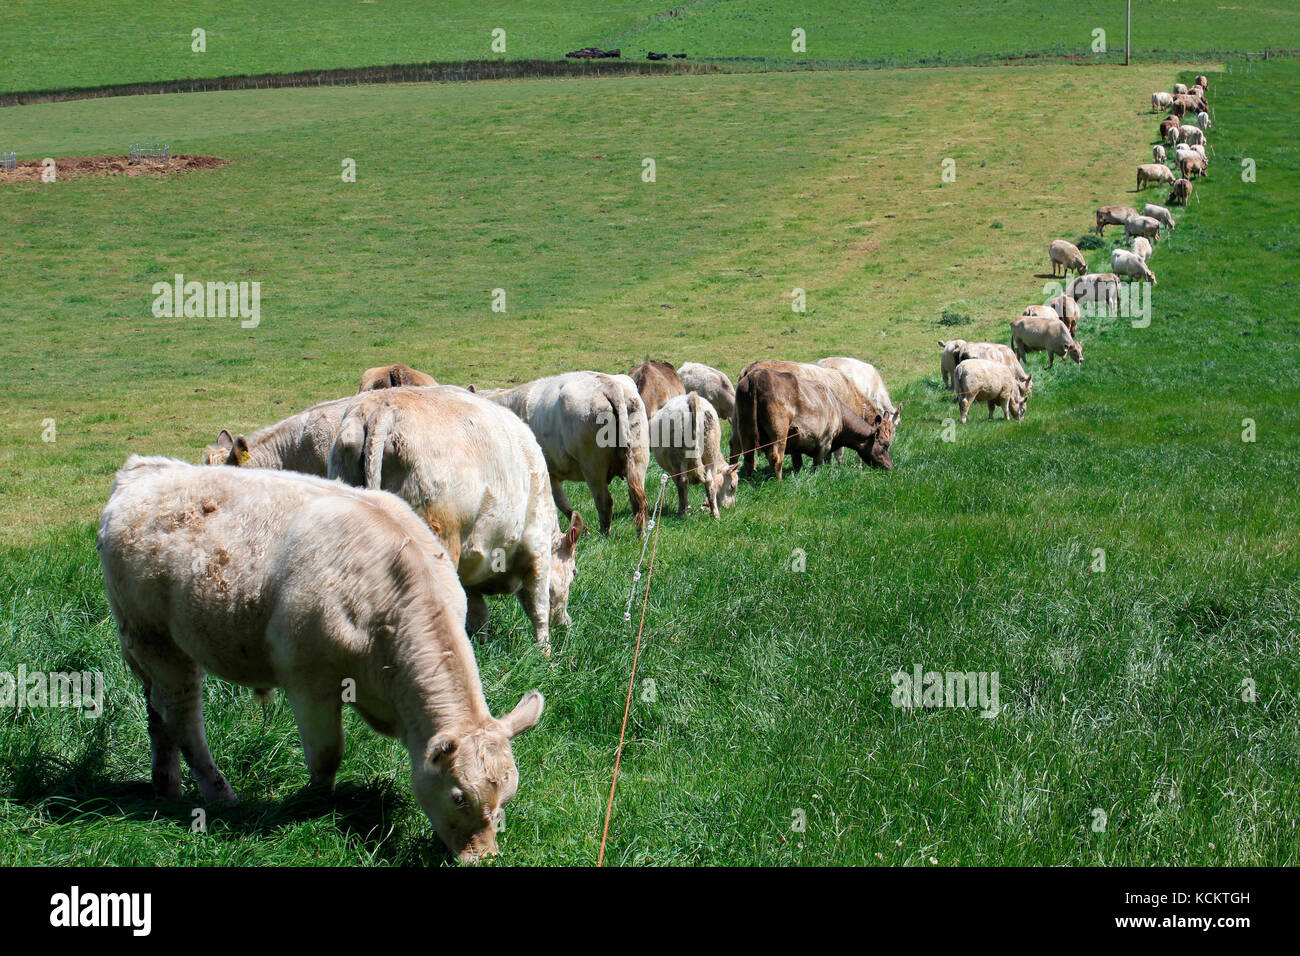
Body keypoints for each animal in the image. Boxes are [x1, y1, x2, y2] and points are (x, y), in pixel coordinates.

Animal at [98, 456, 543, 864]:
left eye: (506, 798)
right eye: (458, 797)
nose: (482, 857)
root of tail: (145, 468)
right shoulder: (308, 682)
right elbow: (327, 753)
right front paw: (314, 802)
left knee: (157, 714)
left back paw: (165, 786)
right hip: (157, 642)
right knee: (183, 718)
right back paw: (217, 792)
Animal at [328, 386, 583, 655]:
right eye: (574, 572)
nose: (566, 623)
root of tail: (382, 408)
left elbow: (479, 613)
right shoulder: (537, 549)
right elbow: (539, 605)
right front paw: (545, 653)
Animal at [478, 371, 649, 536]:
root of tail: (609, 385)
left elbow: (559, 503)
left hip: (593, 467)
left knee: (605, 502)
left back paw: (604, 535)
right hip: (638, 458)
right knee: (637, 500)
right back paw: (640, 535)